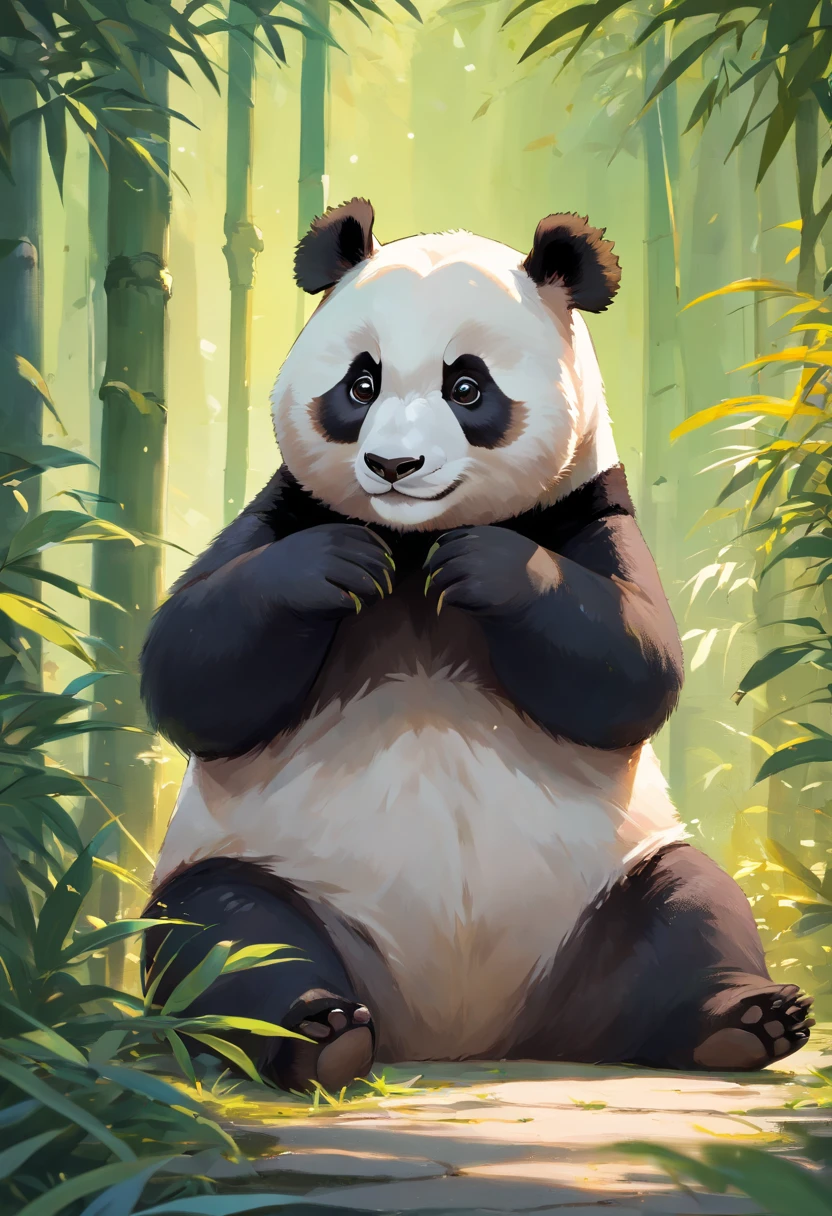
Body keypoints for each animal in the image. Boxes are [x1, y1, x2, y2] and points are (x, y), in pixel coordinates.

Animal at [140, 199, 814, 1094]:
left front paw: (488, 567)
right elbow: (190, 670)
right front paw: (335, 566)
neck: (415, 539)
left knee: (692, 906)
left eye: (467, 388)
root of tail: (462, 1032)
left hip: (611, 887)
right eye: (361, 384)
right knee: (223, 934)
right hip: (270, 876)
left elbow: (634, 669)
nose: (393, 464)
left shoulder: (585, 510)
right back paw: (318, 1031)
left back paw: (745, 1019)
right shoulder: (286, 508)